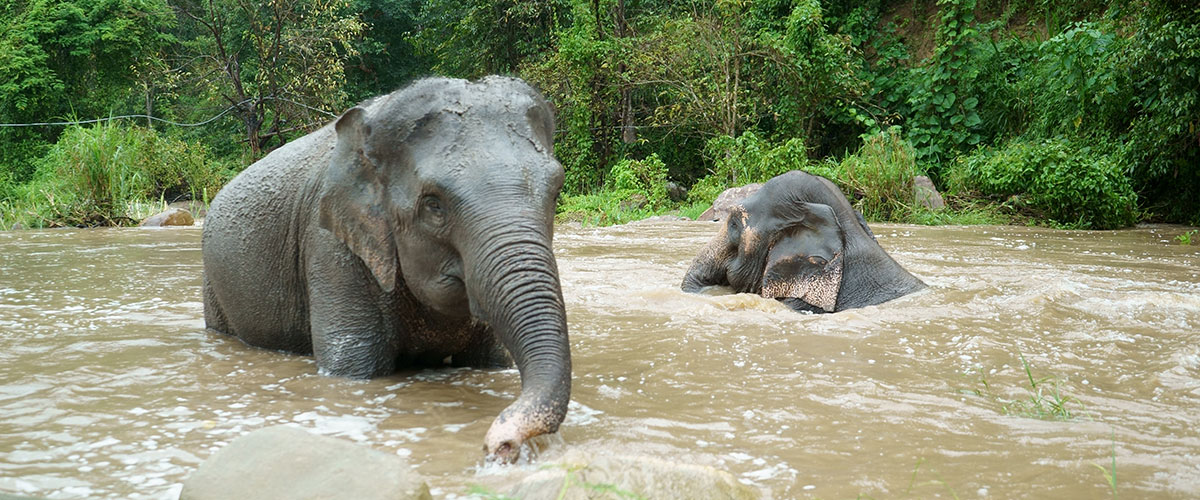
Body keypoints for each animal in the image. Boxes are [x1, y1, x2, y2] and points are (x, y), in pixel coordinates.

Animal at [201, 76, 570, 463]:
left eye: (556, 191)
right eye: (433, 205)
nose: (501, 446)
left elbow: (492, 360)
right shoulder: (331, 248)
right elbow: (353, 367)